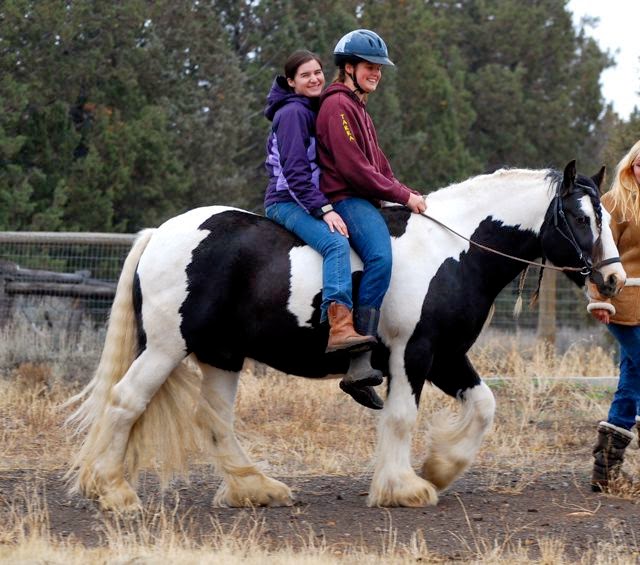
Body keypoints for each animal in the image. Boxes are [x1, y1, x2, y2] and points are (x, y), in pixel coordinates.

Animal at [67, 160, 626, 511]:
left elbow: (485, 406)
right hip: (166, 347)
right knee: (125, 401)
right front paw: (404, 488)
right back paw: (114, 492)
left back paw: (256, 489)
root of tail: (159, 235)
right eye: (580, 218)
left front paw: (440, 468)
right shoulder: (412, 353)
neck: (452, 249)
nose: (613, 279)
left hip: (221, 356)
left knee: (214, 420)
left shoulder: (446, 356)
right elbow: (400, 417)